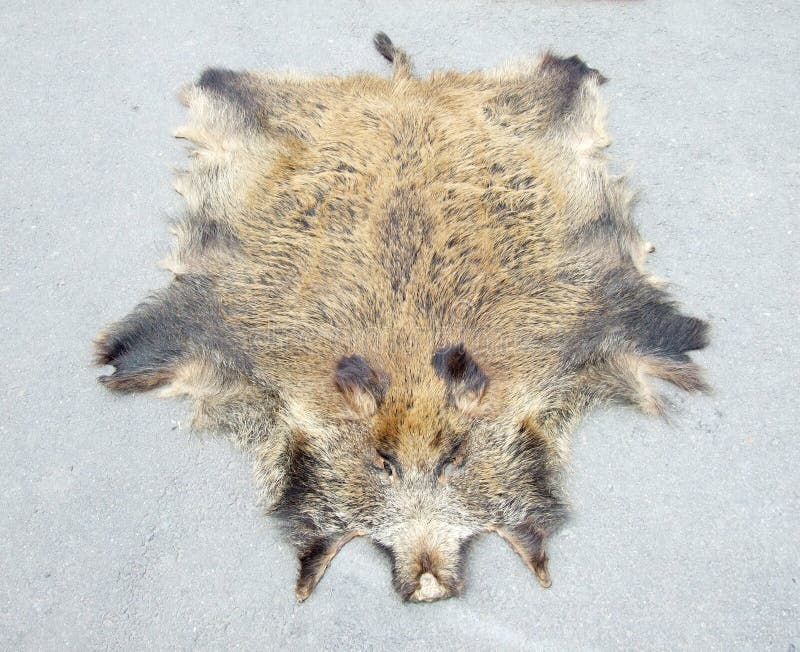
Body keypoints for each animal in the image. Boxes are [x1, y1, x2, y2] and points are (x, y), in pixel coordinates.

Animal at [94, 33, 709, 602]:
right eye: (379, 465)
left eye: (455, 463)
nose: (428, 584)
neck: (410, 361)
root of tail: (404, 90)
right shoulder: (217, 327)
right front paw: (109, 360)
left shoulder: (594, 316)